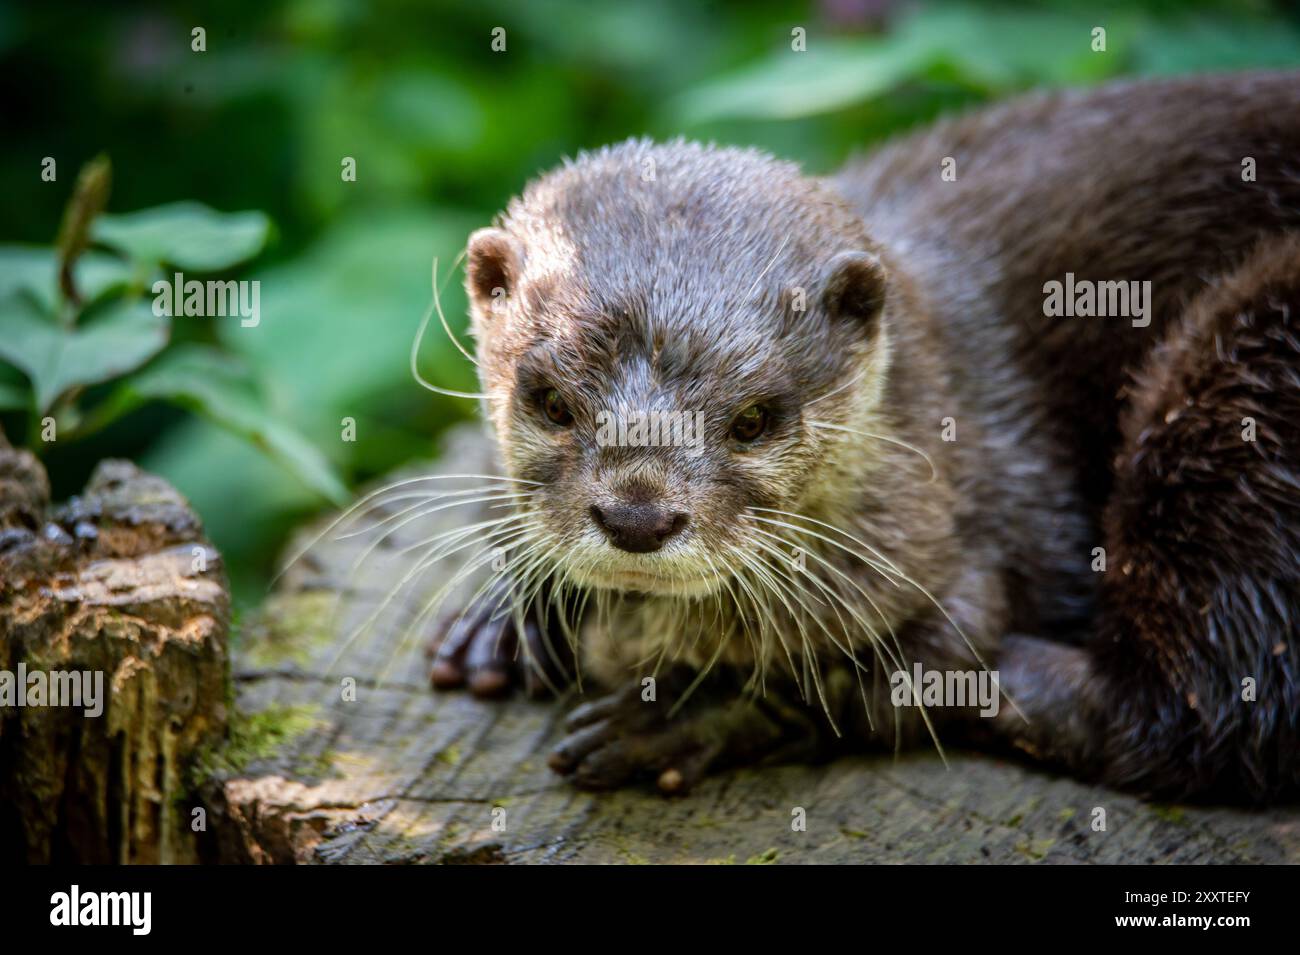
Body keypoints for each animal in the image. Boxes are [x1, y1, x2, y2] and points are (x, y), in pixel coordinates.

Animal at [427, 71, 1300, 803]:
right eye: (550, 402)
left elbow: (887, 679)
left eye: (756, 418)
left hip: (1248, 364)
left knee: (1205, 705)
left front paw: (678, 717)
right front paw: (498, 621)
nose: (637, 515)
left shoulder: (975, 534)